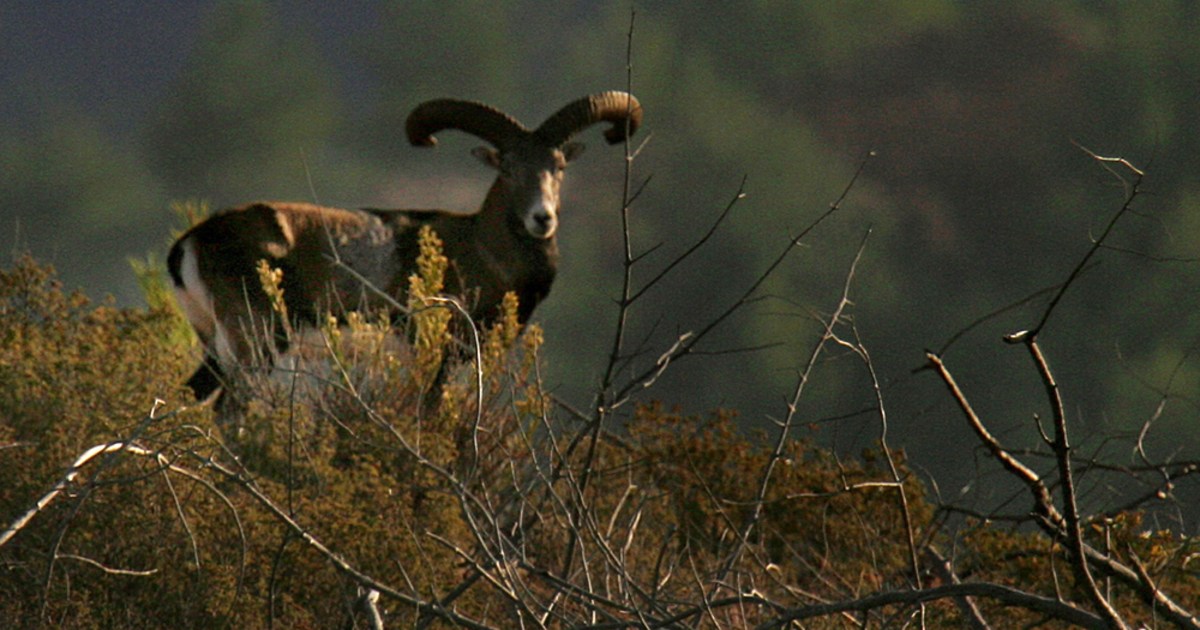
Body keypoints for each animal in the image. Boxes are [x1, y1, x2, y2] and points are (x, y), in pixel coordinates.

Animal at [167, 91, 642, 428]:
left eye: (558, 166)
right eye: (506, 168)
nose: (541, 217)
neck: (481, 251)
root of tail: (190, 243)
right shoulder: (443, 357)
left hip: (217, 347)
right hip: (255, 343)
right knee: (227, 412)